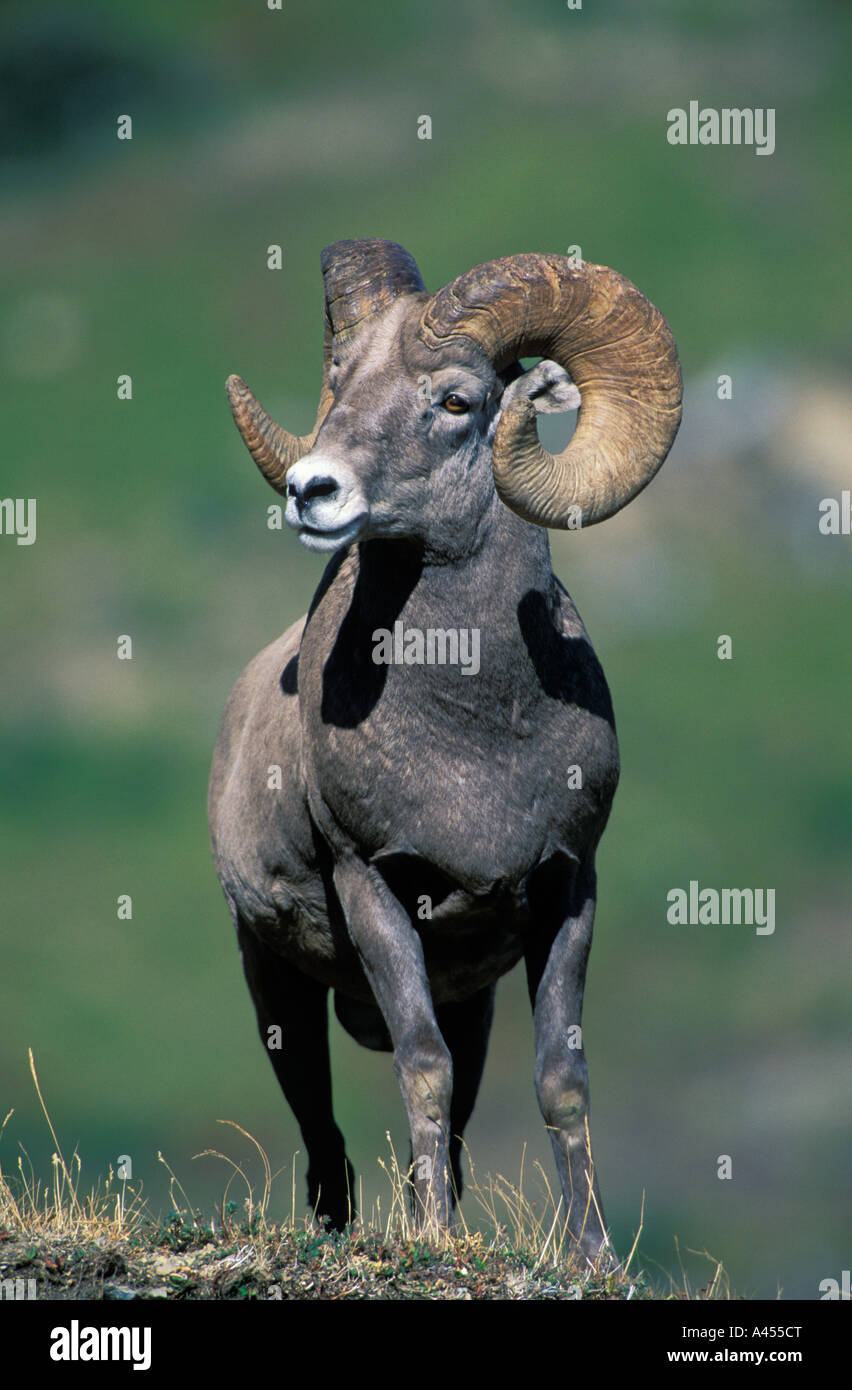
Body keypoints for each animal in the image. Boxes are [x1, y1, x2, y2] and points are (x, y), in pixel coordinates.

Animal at [208, 238, 682, 1265]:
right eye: (340, 384)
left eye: (458, 401)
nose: (313, 491)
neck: (473, 744)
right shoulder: (373, 885)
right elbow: (419, 1069)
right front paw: (431, 1238)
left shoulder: (567, 888)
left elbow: (561, 1082)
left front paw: (593, 1257)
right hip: (276, 987)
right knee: (323, 1132)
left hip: (473, 1003)